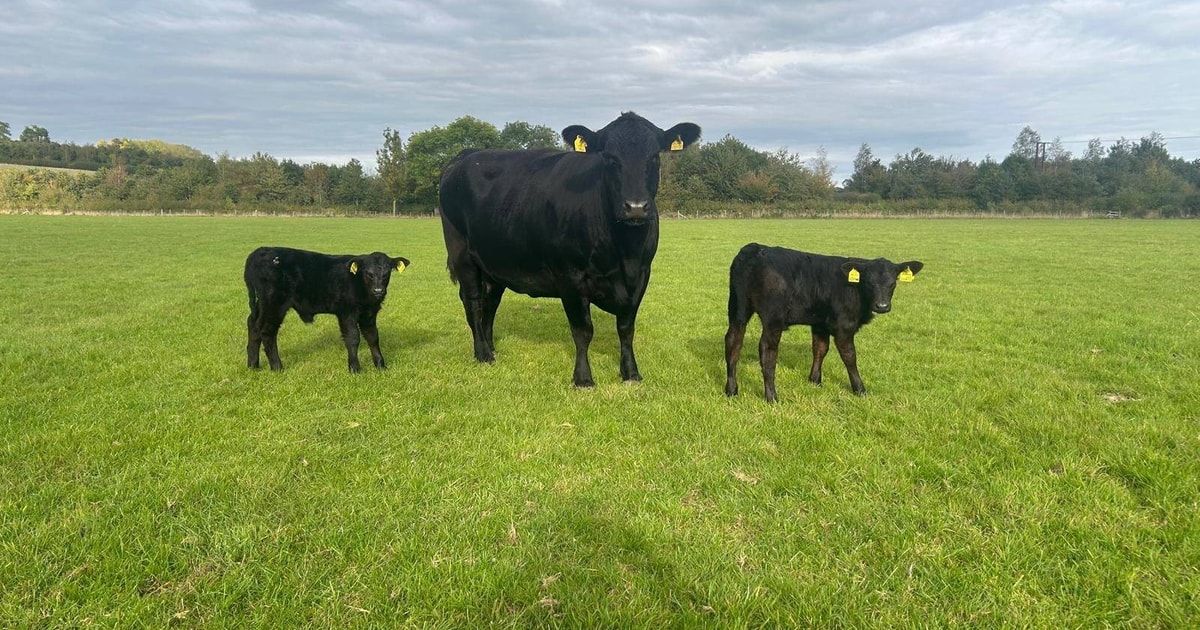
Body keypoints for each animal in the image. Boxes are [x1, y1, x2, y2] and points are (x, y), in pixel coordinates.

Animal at [244, 246, 410, 373]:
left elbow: (373, 337)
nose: (378, 290)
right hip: (274, 304)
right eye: (368, 273)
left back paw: (253, 365)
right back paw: (277, 367)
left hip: (262, 304)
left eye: (386, 273)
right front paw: (355, 368)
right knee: (267, 331)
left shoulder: (369, 314)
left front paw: (381, 365)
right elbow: (353, 338)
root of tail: (261, 251)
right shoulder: (346, 313)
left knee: (253, 325)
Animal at [437, 112, 701, 387]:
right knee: (473, 302)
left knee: (490, 303)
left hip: (493, 262)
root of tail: (466, 155)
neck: (625, 253)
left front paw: (630, 373)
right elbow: (583, 331)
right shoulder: (570, 276)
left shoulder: (641, 275)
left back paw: (491, 349)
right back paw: (482, 354)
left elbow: (626, 328)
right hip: (462, 255)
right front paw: (583, 378)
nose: (636, 207)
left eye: (654, 157)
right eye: (609, 158)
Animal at [723, 243, 923, 401]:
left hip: (737, 309)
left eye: (893, 282)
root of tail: (754, 249)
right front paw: (859, 389)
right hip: (773, 318)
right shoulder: (843, 326)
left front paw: (815, 381)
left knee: (733, 342)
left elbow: (820, 349)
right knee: (767, 350)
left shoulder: (820, 323)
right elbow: (850, 356)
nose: (882, 306)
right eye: (868, 282)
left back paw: (731, 390)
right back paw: (772, 396)